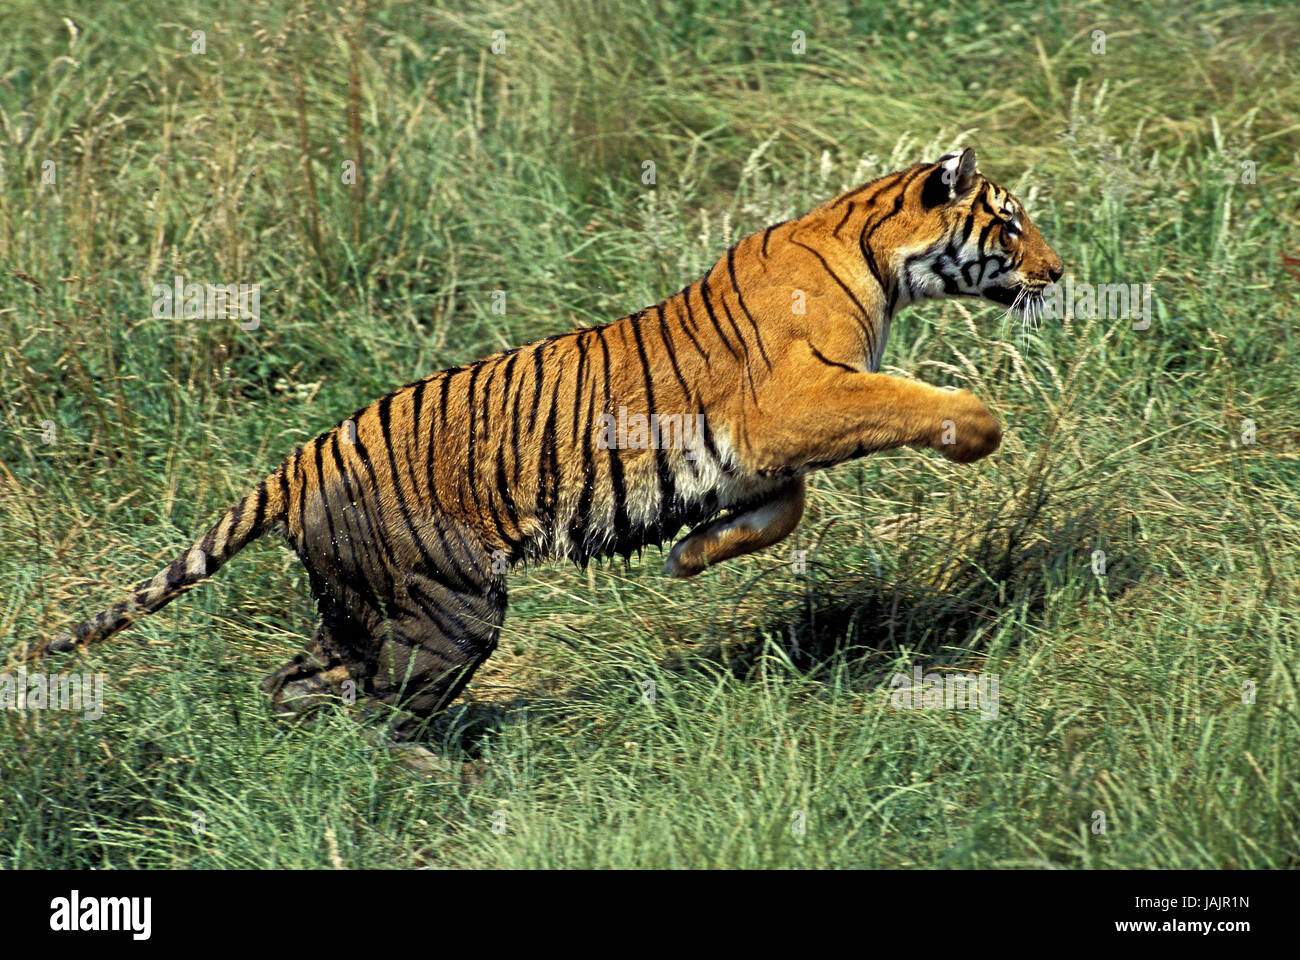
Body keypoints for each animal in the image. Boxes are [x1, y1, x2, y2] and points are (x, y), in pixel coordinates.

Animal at [48, 147, 1063, 737]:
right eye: (1010, 224)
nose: (1059, 271)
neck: (875, 258)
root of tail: (302, 458)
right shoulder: (795, 401)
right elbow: (905, 404)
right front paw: (980, 430)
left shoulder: (766, 449)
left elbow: (783, 508)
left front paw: (690, 557)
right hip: (448, 610)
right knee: (386, 714)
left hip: (355, 606)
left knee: (308, 680)